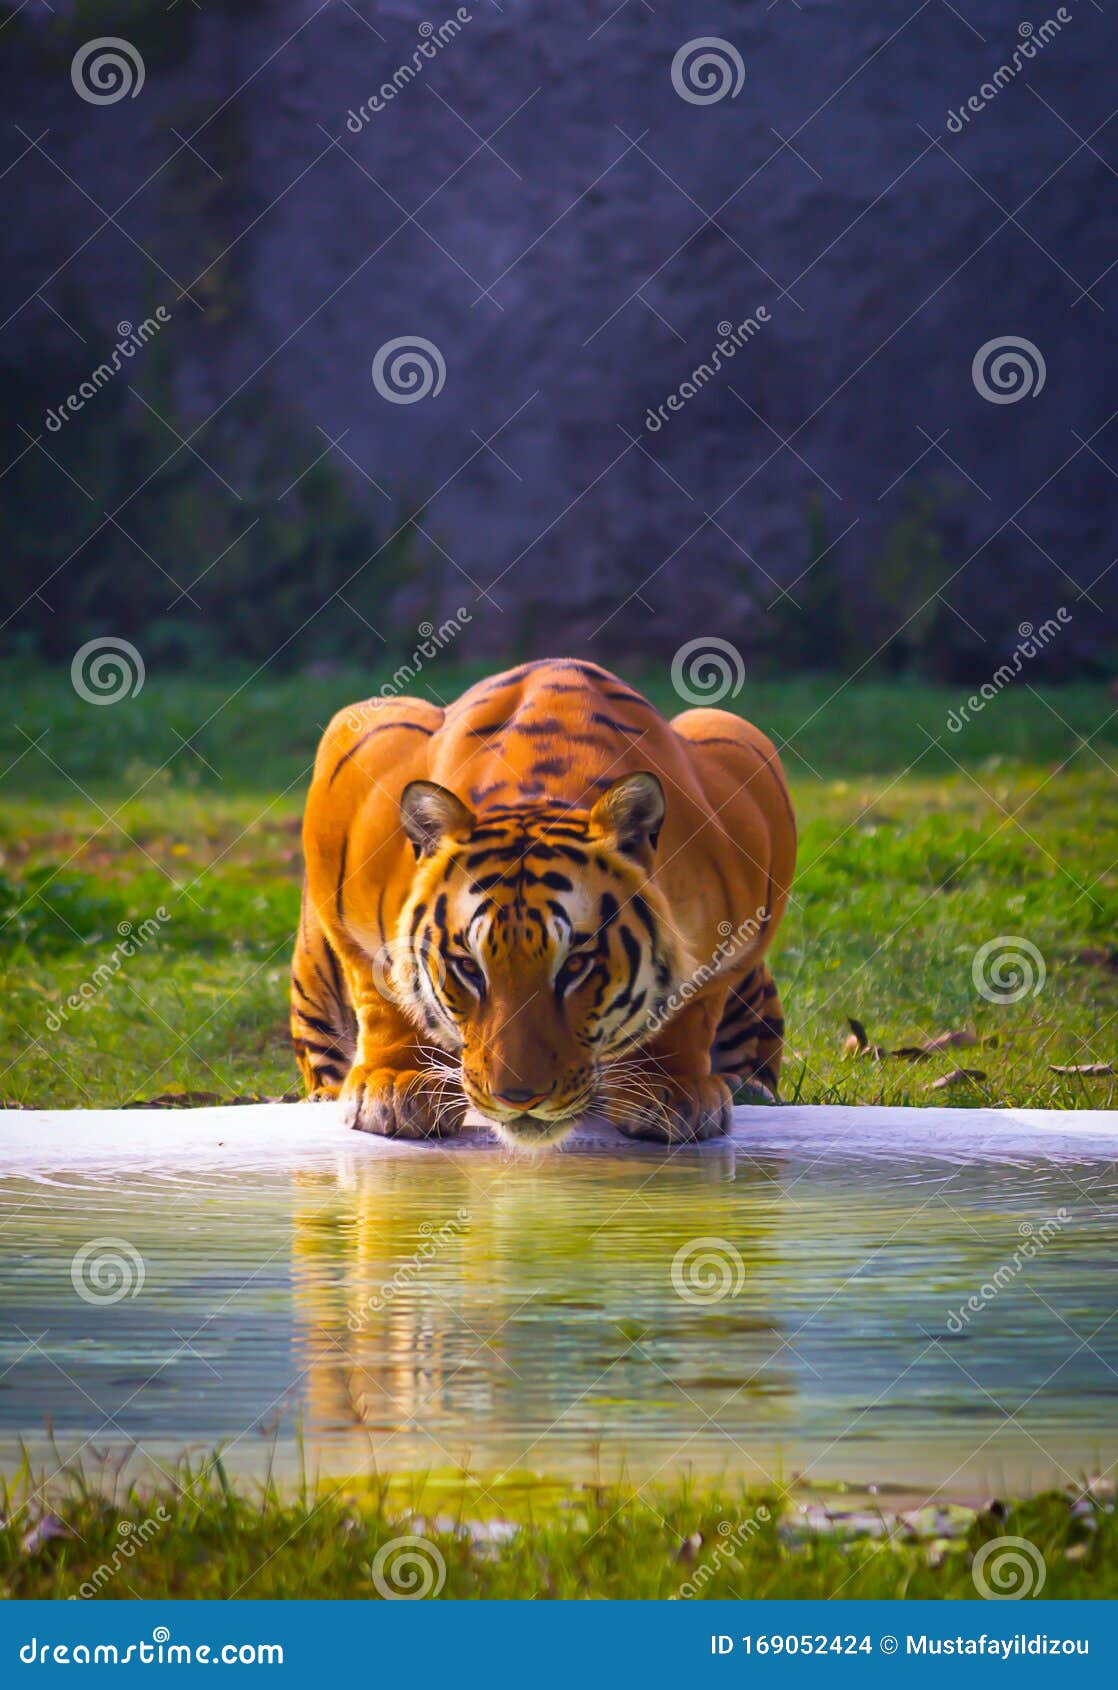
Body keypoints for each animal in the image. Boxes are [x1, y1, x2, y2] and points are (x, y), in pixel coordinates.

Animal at [291, 659, 796, 1148]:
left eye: (575, 966)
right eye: (468, 967)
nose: (518, 1099)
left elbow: (696, 1000)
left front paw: (671, 1087)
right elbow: (379, 986)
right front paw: (397, 1083)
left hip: (724, 725)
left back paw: (747, 1087)